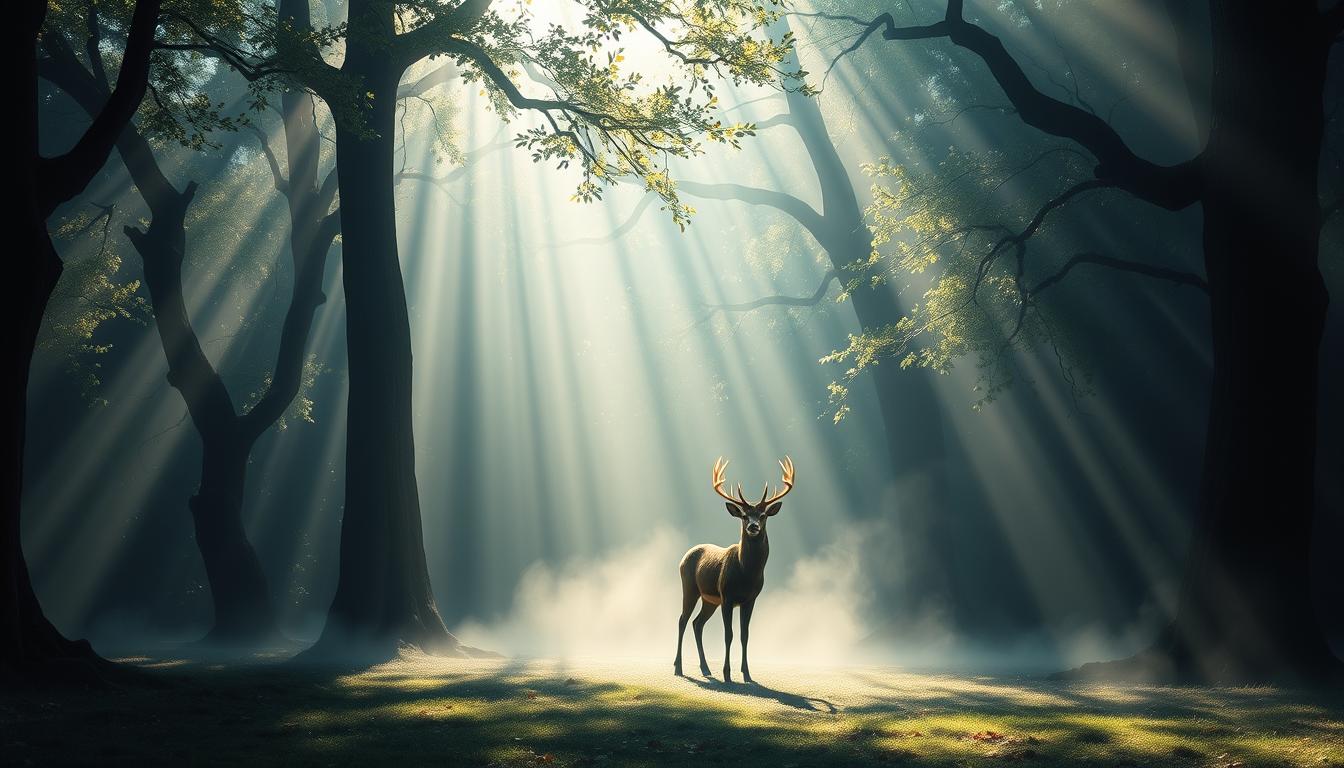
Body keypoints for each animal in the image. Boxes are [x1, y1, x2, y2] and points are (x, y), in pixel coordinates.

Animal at [674, 456, 794, 683]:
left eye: (763, 515)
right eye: (744, 516)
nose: (753, 526)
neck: (746, 573)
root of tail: (684, 557)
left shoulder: (750, 599)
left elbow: (744, 635)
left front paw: (747, 674)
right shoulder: (727, 596)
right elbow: (728, 634)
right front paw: (727, 674)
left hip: (710, 600)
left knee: (697, 623)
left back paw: (705, 669)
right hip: (690, 588)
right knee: (683, 620)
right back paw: (678, 667)